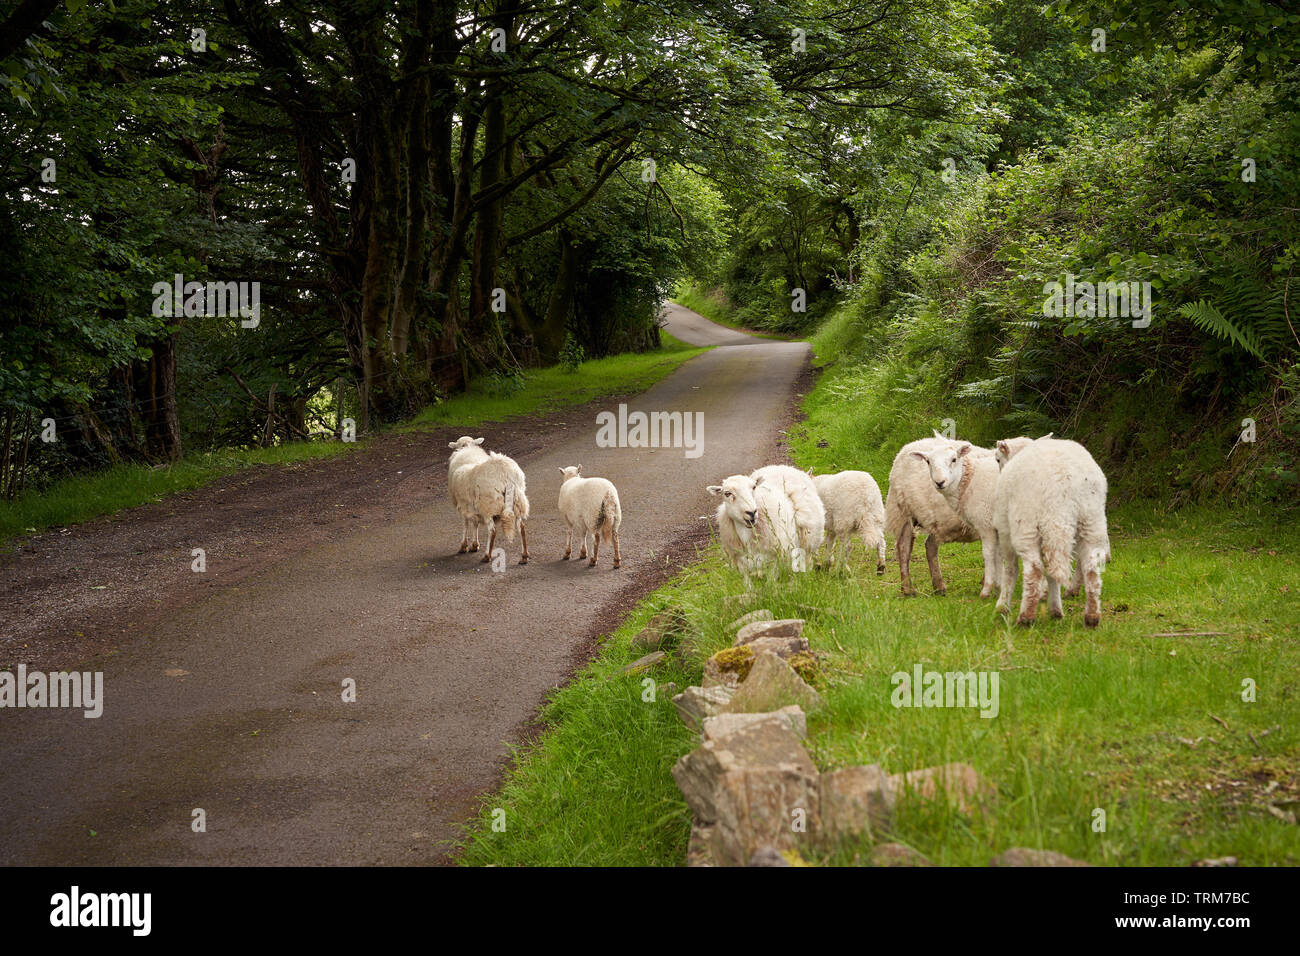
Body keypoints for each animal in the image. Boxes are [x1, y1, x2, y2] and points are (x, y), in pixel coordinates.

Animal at [907, 436, 1036, 597]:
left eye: (954, 459)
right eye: (928, 461)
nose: (939, 482)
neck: (969, 481)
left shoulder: (986, 524)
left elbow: (988, 555)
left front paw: (987, 590)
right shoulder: (997, 527)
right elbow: (999, 556)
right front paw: (998, 588)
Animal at [993, 437, 1110, 627]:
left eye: (997, 459)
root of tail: (1061, 484)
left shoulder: (1004, 532)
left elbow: (1010, 570)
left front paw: (1002, 607)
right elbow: (1051, 574)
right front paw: (1055, 610)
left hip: (1025, 523)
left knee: (1034, 570)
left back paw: (1026, 617)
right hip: (1091, 521)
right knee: (1091, 569)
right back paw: (1092, 616)